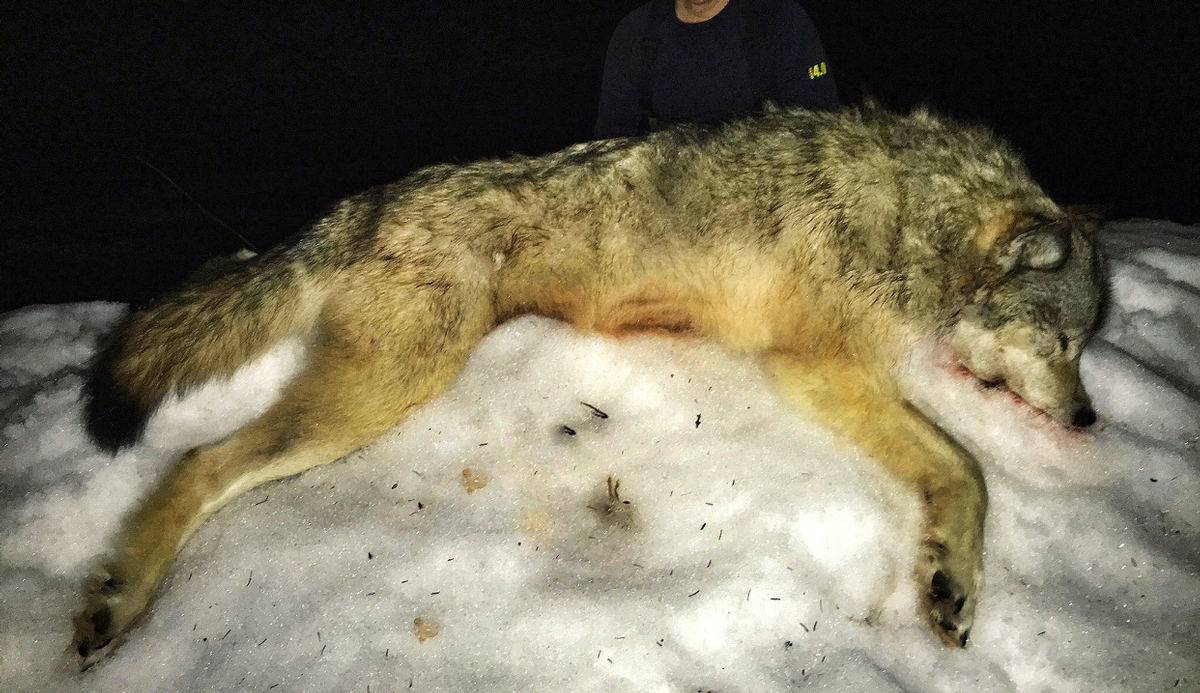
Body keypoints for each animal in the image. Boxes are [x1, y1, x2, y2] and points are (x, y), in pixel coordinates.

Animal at [73, 103, 1104, 666]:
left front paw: (947, 580)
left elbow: (958, 468)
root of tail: (361, 204)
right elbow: (969, 468)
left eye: (1087, 344)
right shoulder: (820, 369)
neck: (920, 217)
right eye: (1061, 338)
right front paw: (955, 581)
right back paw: (115, 603)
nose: (1091, 418)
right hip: (376, 394)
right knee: (199, 462)